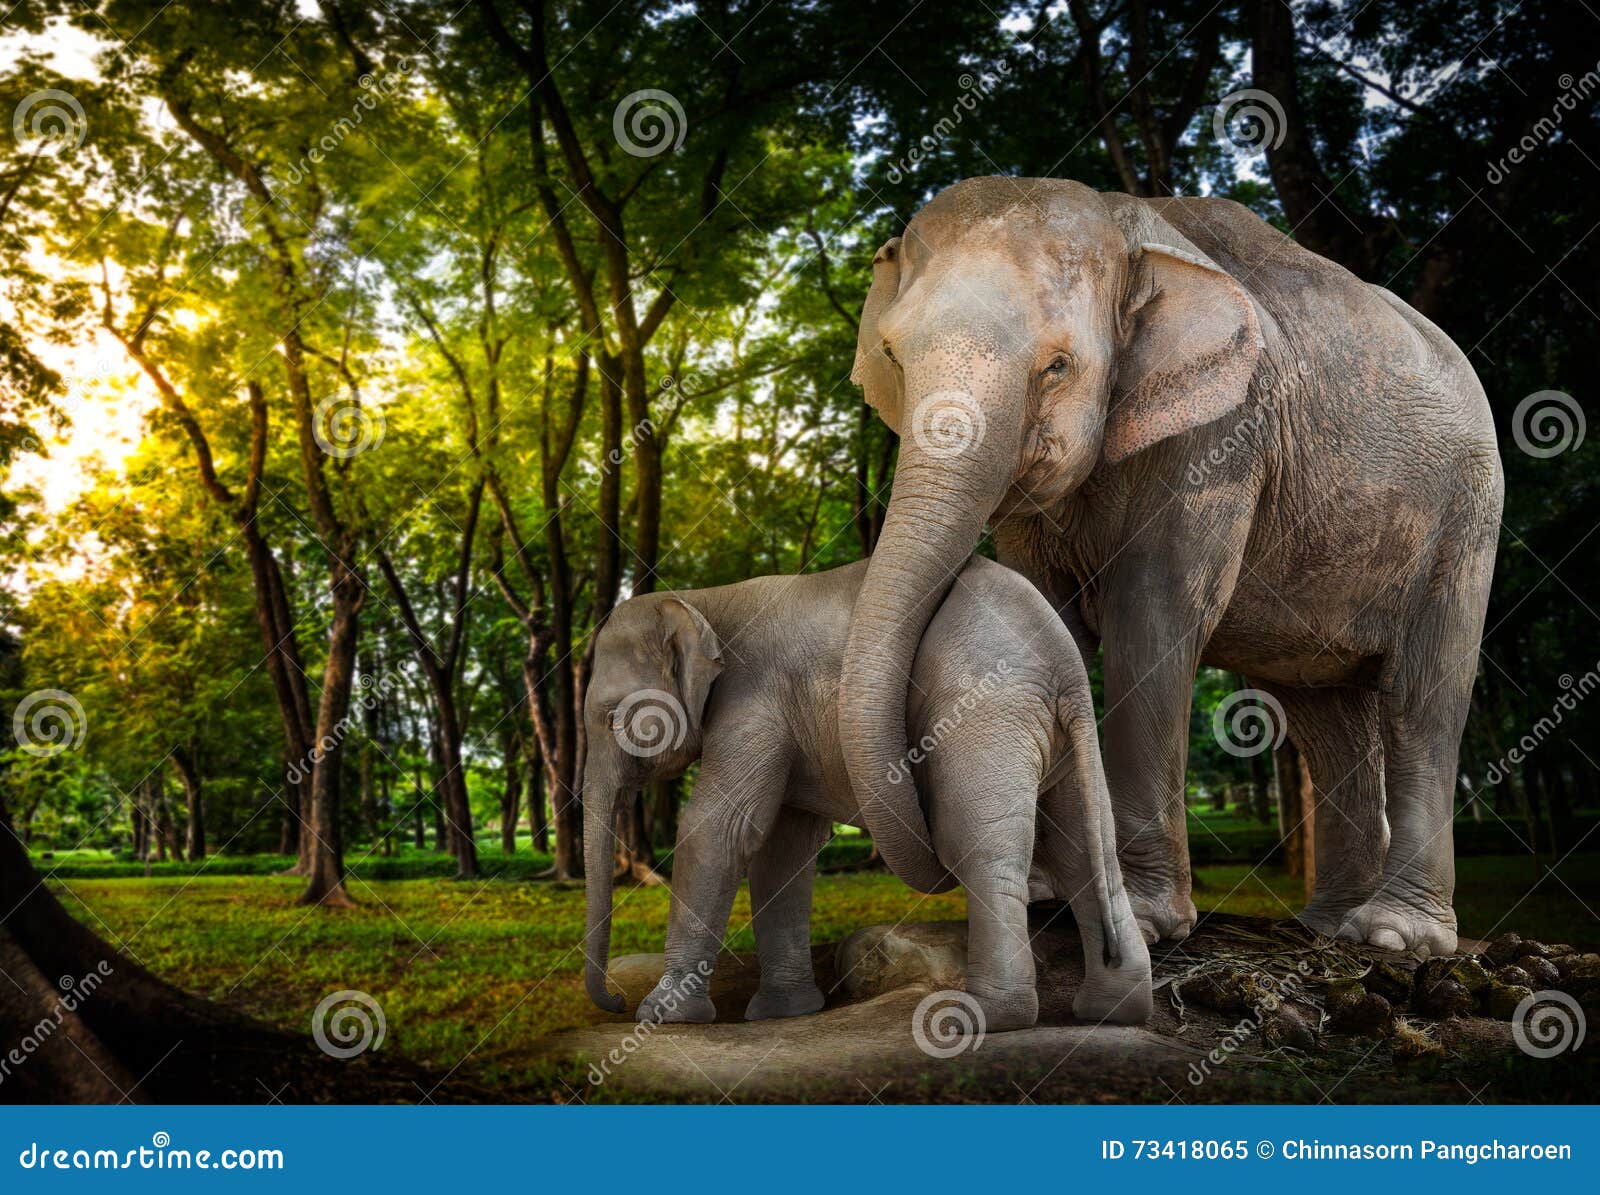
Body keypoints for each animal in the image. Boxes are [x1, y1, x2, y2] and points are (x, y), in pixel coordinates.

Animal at [581, 556, 1154, 1032]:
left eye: (610, 719)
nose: (614, 1001)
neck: (704, 600)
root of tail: (1067, 668)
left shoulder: (752, 703)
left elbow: (719, 831)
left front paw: (660, 1017)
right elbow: (783, 850)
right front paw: (785, 1013)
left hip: (985, 713)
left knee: (983, 851)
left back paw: (985, 1020)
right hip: (1059, 741)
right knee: (1084, 853)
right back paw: (1111, 1012)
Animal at [839, 176, 1502, 959]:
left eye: (1057, 367)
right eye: (891, 354)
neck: (1122, 225)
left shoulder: (1224, 432)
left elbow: (1154, 620)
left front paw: (1144, 922)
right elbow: (1046, 616)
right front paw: (1045, 901)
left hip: (1466, 518)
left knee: (1422, 698)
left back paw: (1395, 936)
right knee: (1326, 719)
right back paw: (1324, 927)